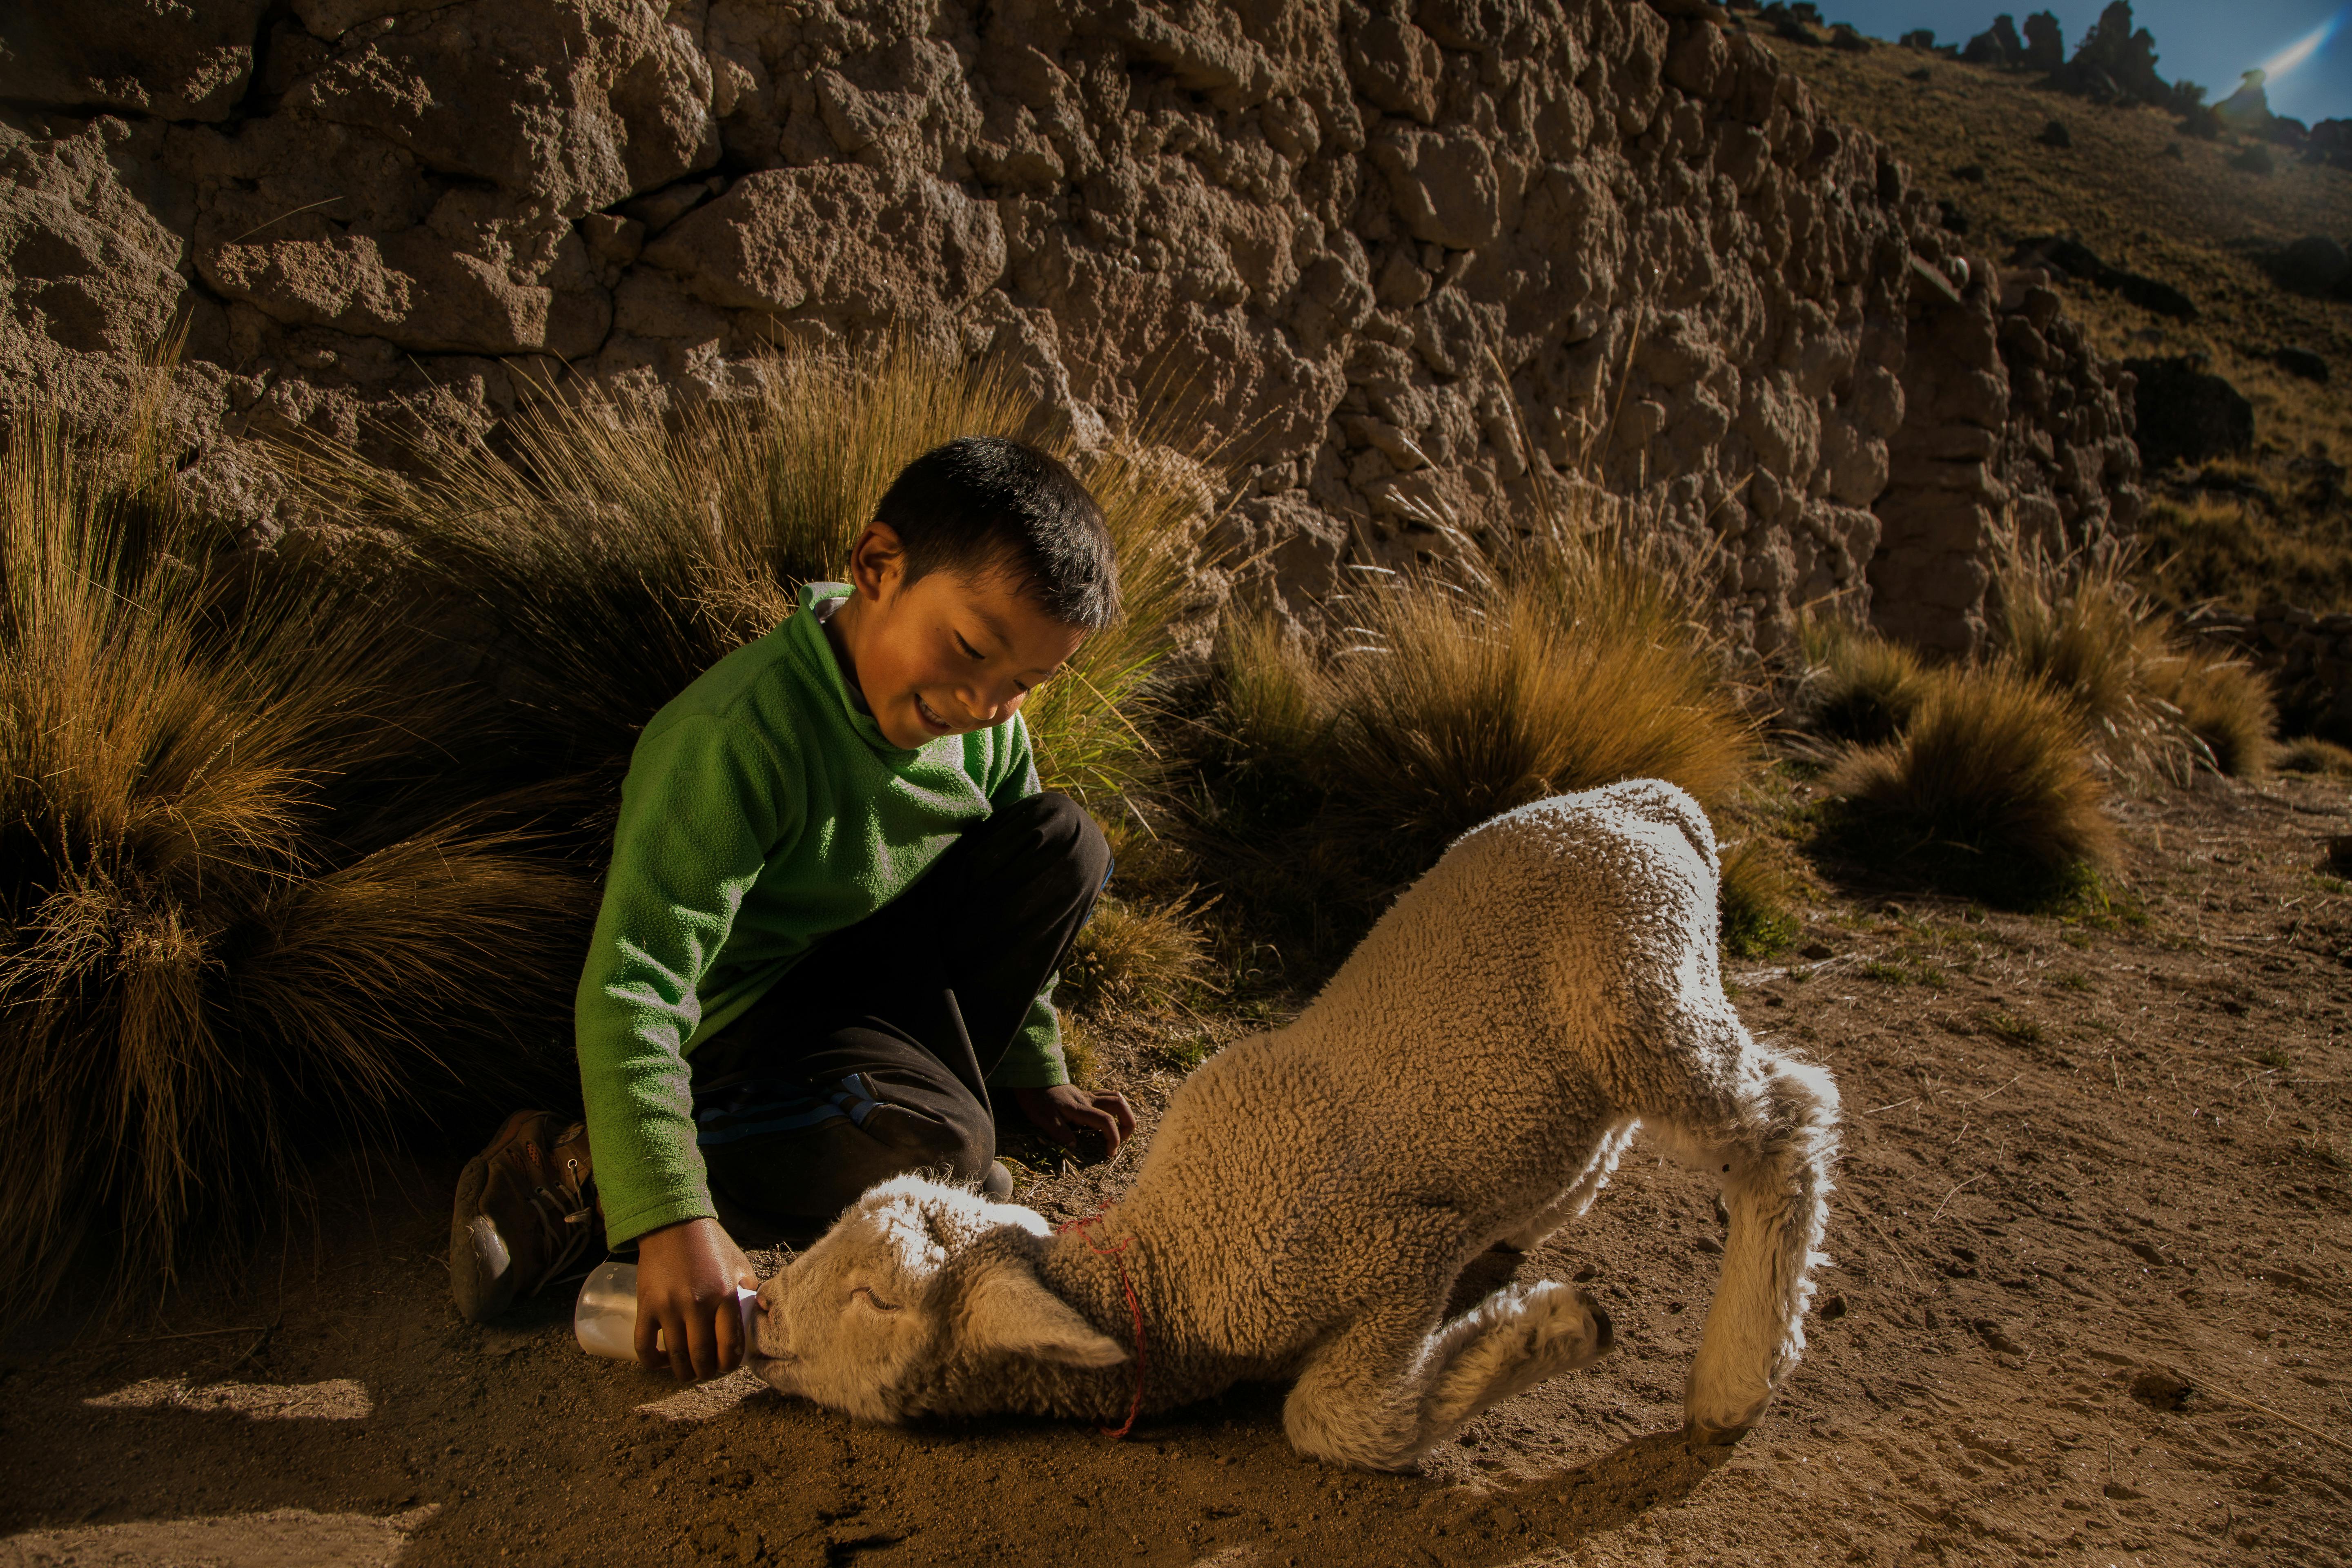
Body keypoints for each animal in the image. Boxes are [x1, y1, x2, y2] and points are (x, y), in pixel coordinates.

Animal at [747, 779, 1841, 1470]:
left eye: (875, 1300)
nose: (757, 1317)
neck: (1168, 1271)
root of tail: (1654, 800)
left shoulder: (1399, 1253)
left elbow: (1333, 1420)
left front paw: (1553, 1329)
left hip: (1642, 985)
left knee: (1790, 1116)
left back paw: (1737, 1378)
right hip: (1610, 1023)